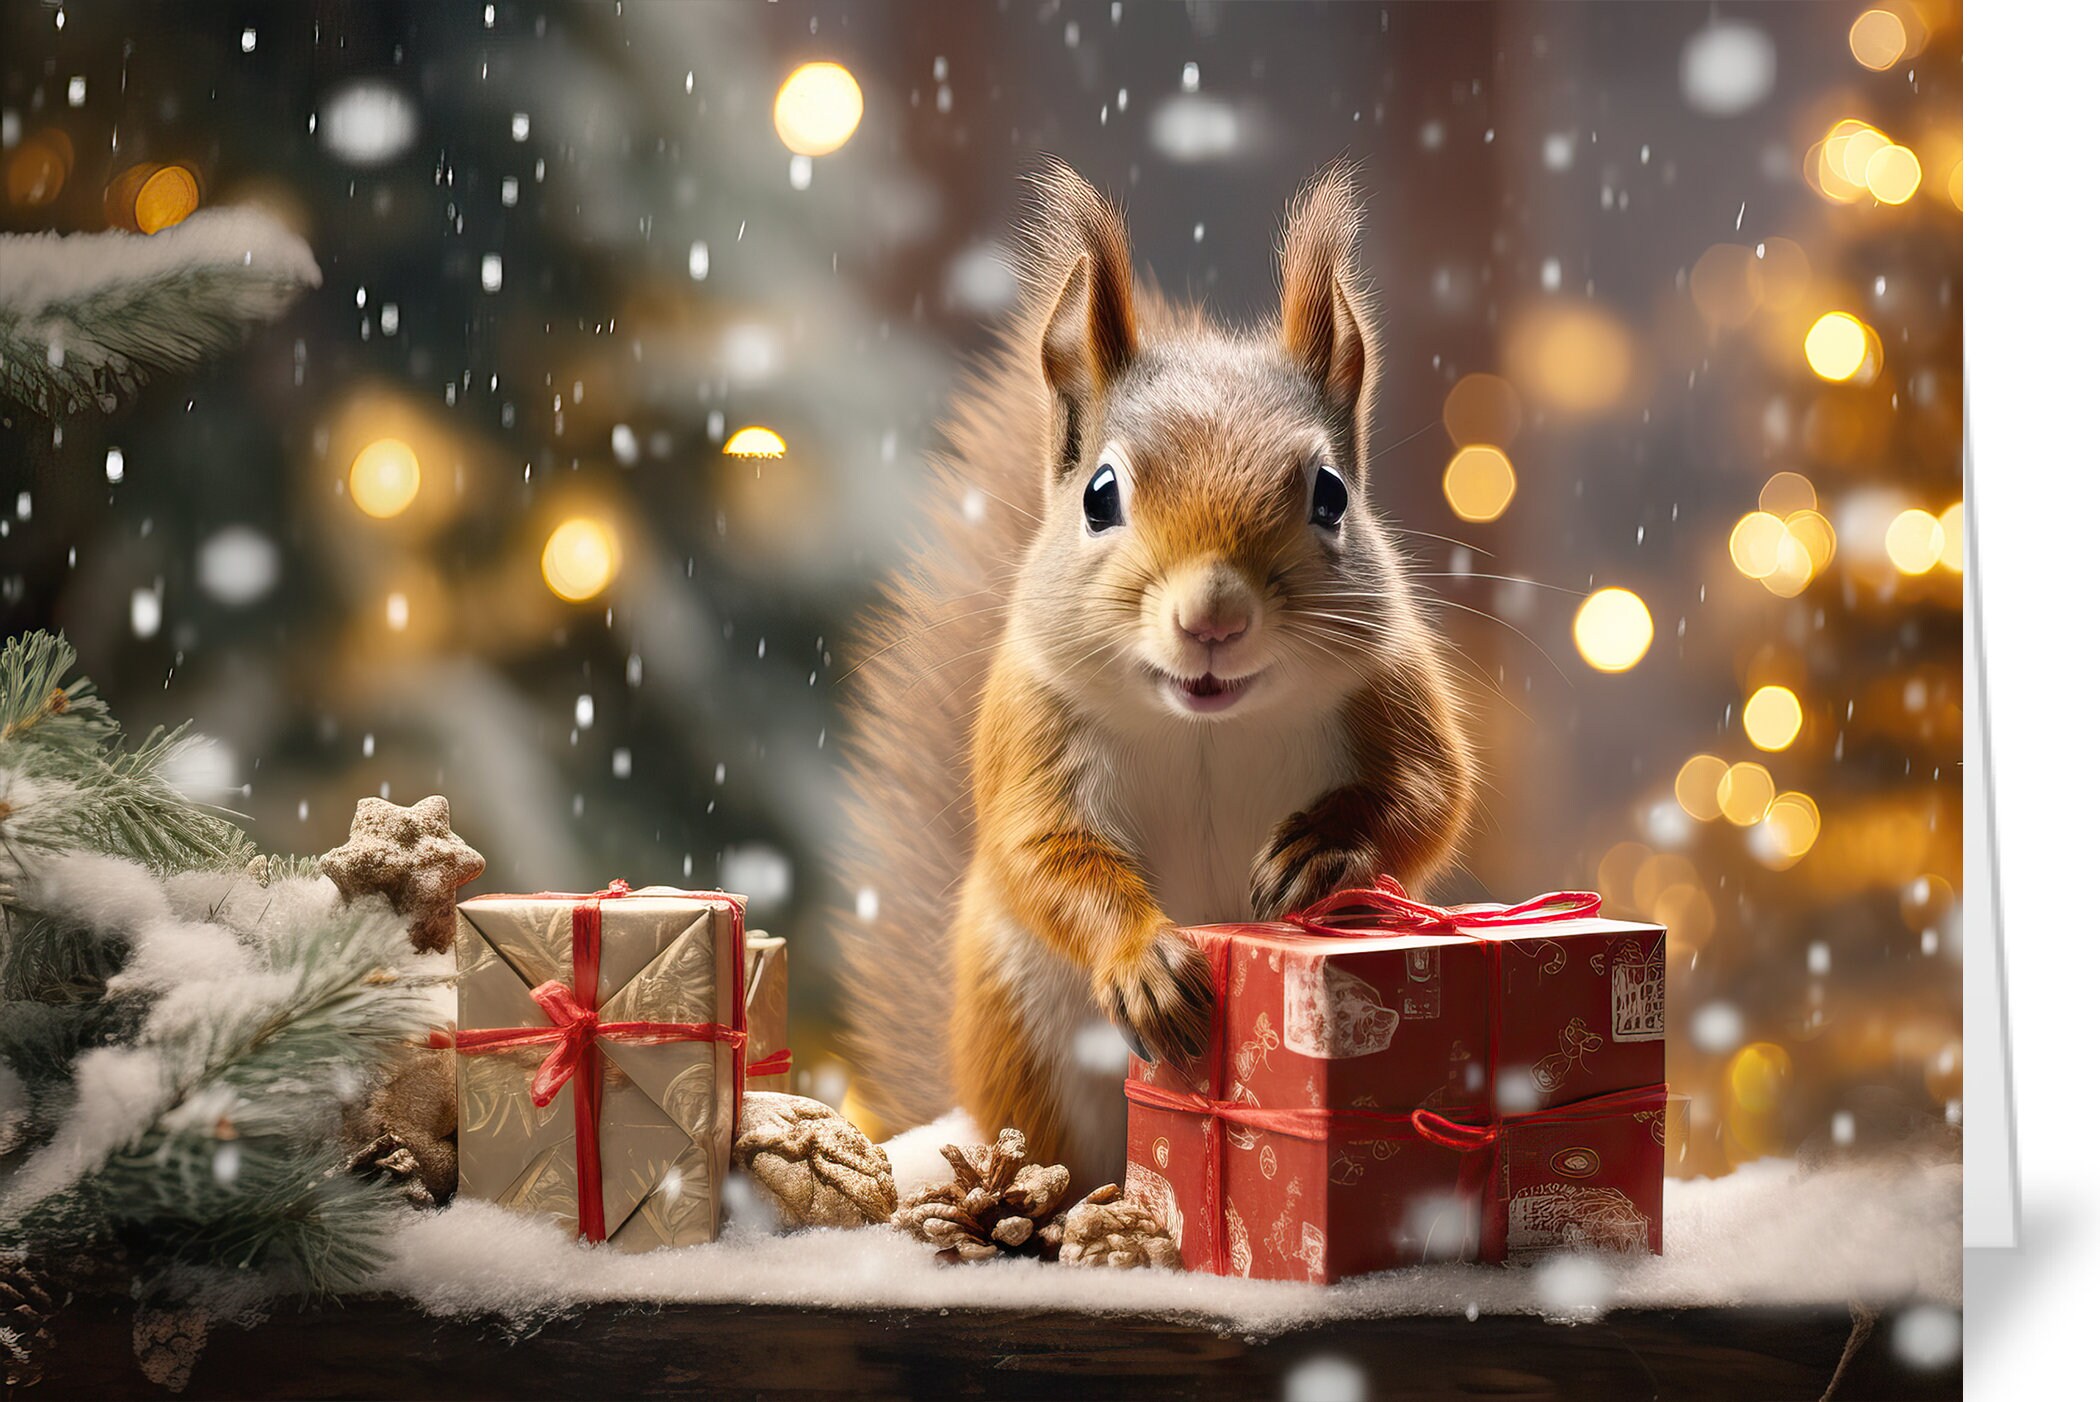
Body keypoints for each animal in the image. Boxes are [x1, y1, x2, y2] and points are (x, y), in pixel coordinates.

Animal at [837, 162, 1475, 1189]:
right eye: (1099, 495)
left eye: (1332, 494)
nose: (1212, 617)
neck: (1205, 725)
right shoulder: (1036, 726)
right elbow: (1041, 850)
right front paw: (1143, 959)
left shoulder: (1390, 689)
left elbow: (1428, 797)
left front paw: (1323, 849)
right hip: (1027, 1030)